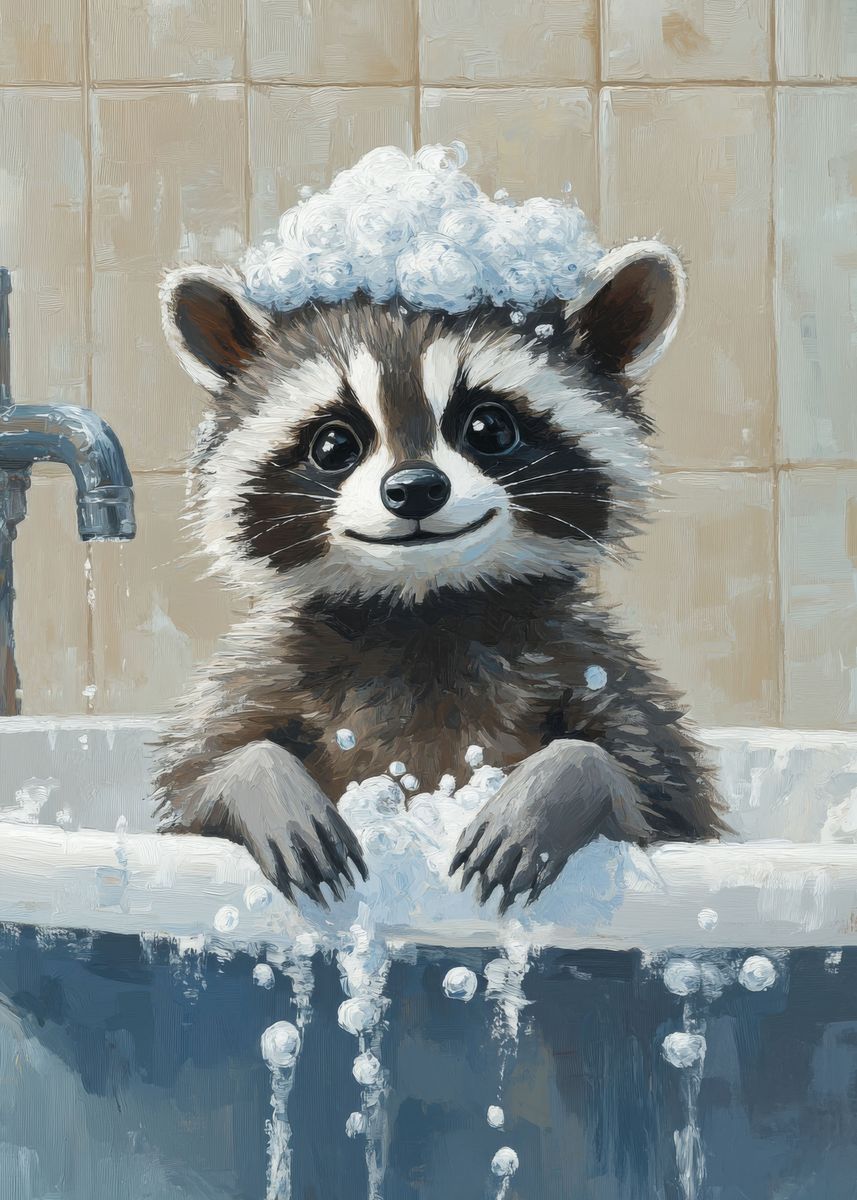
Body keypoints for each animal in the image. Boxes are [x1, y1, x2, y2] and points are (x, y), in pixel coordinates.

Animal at [155, 239, 726, 912]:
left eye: (489, 427)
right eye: (333, 444)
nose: (415, 489)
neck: (425, 605)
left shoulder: (604, 674)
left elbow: (659, 798)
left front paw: (558, 782)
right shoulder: (263, 672)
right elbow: (197, 783)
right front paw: (261, 781)